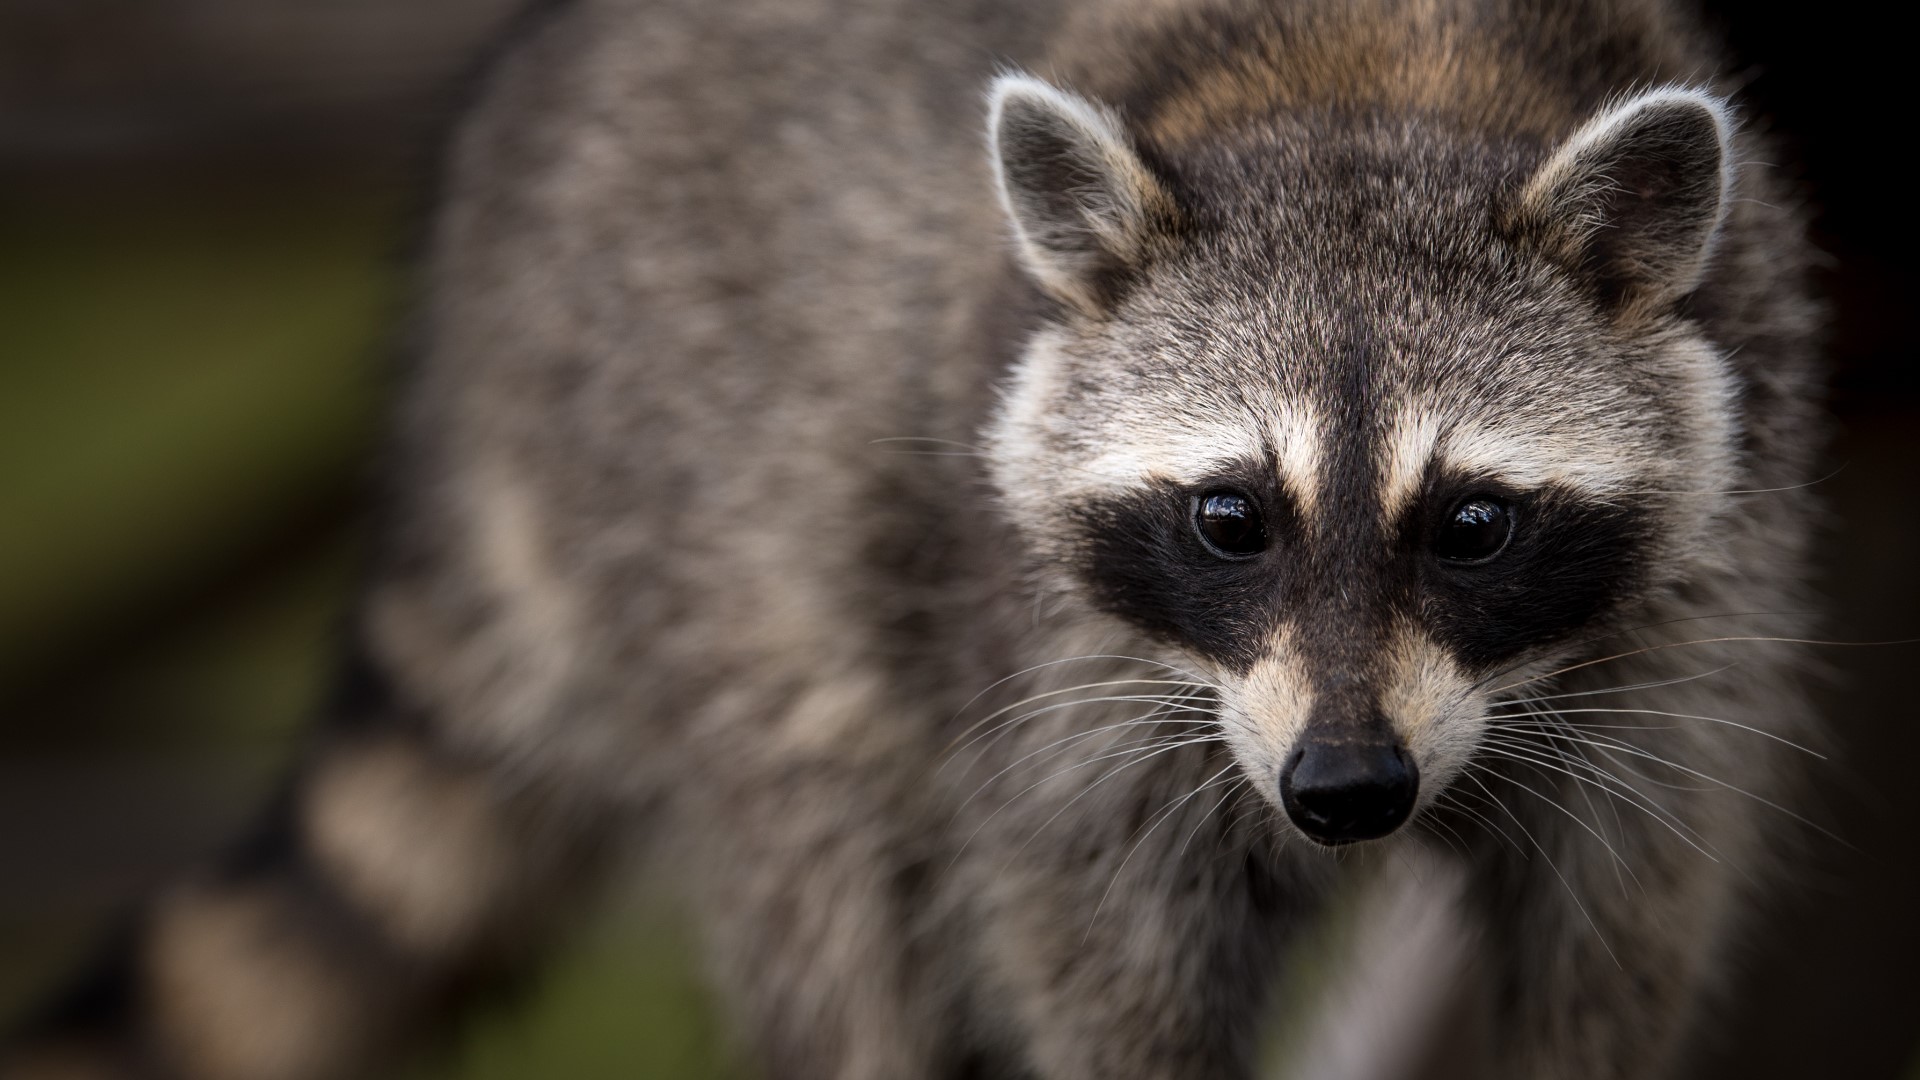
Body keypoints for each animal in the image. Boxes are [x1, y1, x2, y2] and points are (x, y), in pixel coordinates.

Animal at [4, 0, 1825, 1078]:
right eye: (1231, 517)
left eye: (1473, 523)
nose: (1346, 790)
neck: (1368, 107)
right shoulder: (1043, 661)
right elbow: (1096, 951)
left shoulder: (1697, 619)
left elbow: (1612, 941)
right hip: (687, 477)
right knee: (829, 856)